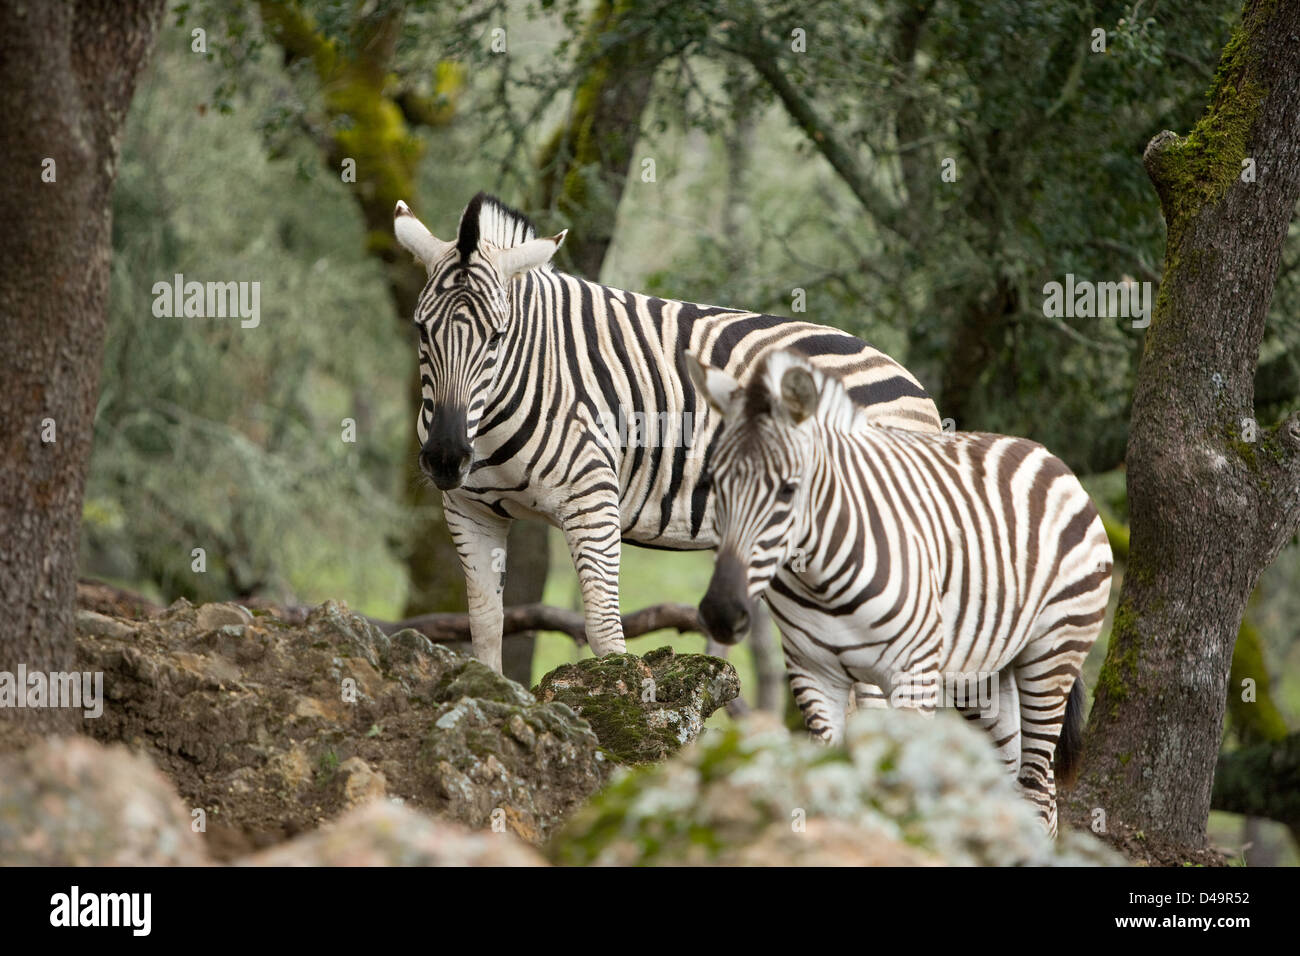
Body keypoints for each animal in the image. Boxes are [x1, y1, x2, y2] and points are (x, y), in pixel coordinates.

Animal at [393, 192, 942, 673]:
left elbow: (605, 634)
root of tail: (912, 384)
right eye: (421, 330)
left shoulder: (593, 502)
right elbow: (485, 626)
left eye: (497, 336)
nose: (446, 457)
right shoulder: (470, 511)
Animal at [689, 348, 1112, 834]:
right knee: (1024, 782)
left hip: (1054, 652)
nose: (721, 612)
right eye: (713, 484)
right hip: (985, 671)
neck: (822, 579)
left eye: (788, 490)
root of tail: (1045, 455)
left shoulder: (915, 675)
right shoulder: (813, 673)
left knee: (1038, 784)